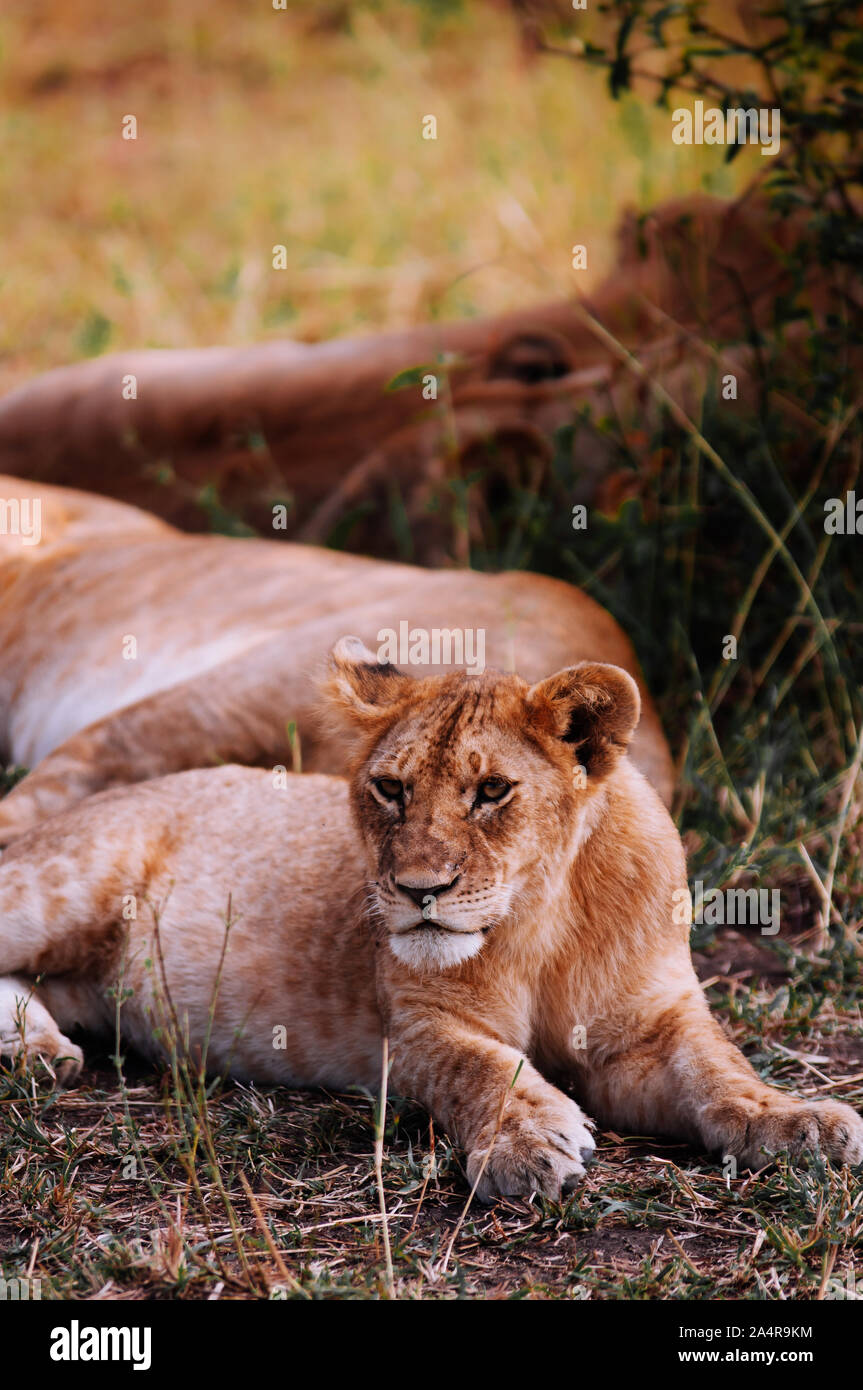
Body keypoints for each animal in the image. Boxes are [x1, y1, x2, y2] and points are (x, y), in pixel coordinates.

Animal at [1, 639, 860, 1198]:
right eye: (390, 789)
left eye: (491, 792)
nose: (419, 889)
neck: (539, 923)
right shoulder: (412, 1028)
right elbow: (482, 1066)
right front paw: (526, 1142)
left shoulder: (647, 1027)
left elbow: (718, 1067)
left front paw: (797, 1122)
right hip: (62, 886)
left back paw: (38, 1051)